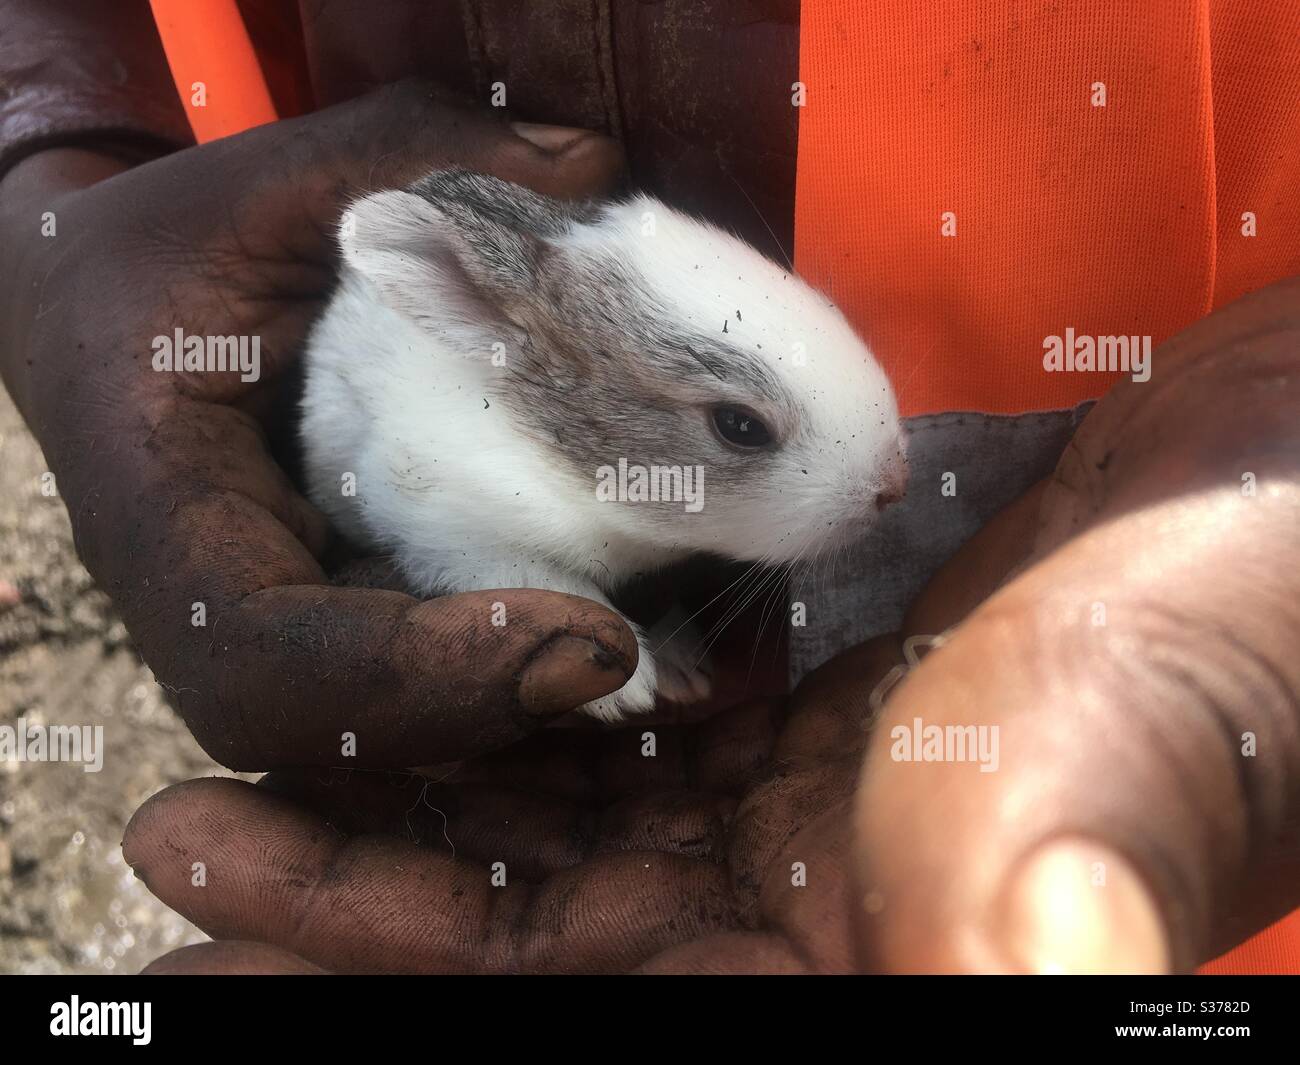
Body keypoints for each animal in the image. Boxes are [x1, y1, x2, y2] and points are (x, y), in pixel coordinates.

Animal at [300, 169, 907, 722]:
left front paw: (682, 669)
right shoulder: (448, 534)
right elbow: (540, 581)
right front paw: (624, 688)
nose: (893, 484)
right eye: (739, 425)